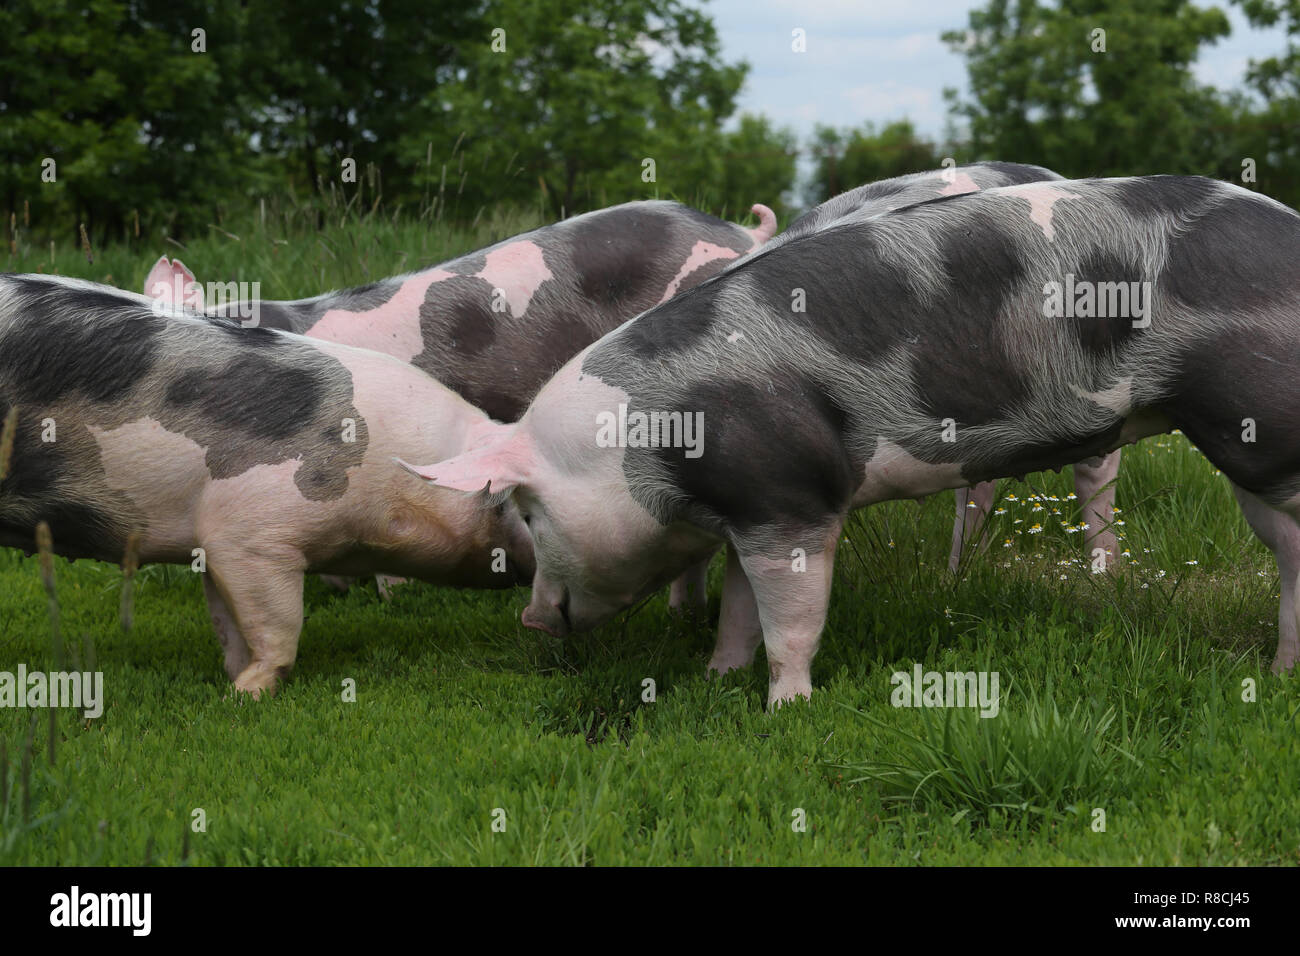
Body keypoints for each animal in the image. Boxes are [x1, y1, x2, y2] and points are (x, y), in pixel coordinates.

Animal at [0, 274, 534, 696]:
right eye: (501, 501)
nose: (531, 562)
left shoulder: (213, 536)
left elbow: (228, 618)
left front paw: (232, 677)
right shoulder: (252, 534)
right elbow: (277, 619)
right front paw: (248, 693)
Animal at [398, 175, 1300, 706]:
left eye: (531, 512)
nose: (529, 621)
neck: (651, 439)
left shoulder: (793, 498)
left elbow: (793, 617)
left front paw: (785, 708)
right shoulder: (749, 512)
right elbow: (739, 607)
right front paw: (717, 680)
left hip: (1256, 423)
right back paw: (1277, 671)